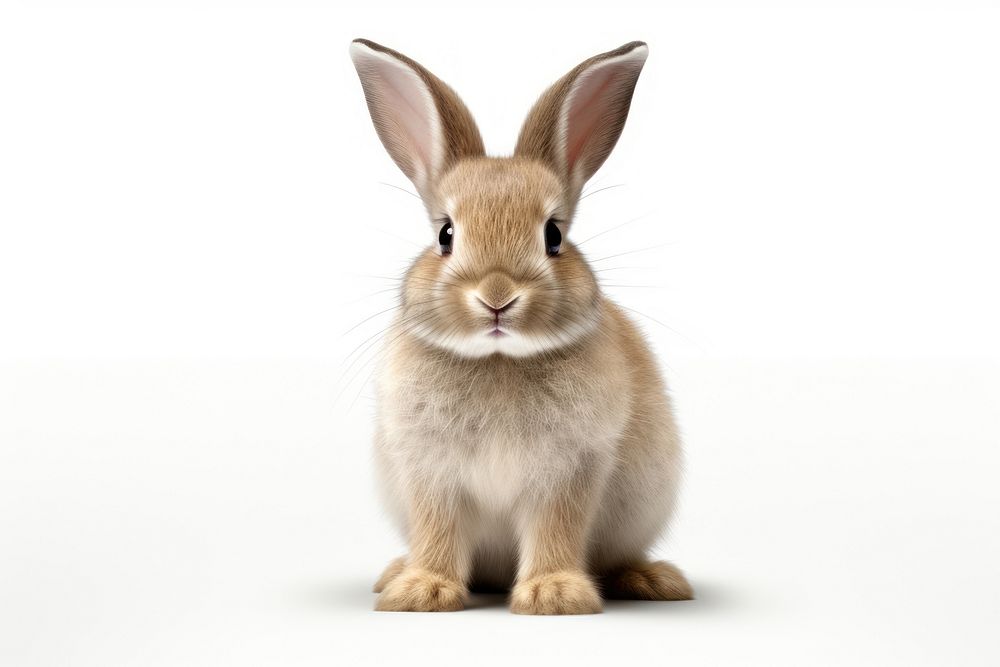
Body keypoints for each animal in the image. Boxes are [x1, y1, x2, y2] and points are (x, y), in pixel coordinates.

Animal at [349, 38, 692, 614]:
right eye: (445, 235)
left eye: (553, 235)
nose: (497, 297)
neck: (499, 359)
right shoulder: (430, 473)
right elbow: (437, 530)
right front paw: (423, 592)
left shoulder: (568, 473)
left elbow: (555, 529)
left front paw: (553, 595)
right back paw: (395, 572)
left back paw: (653, 580)